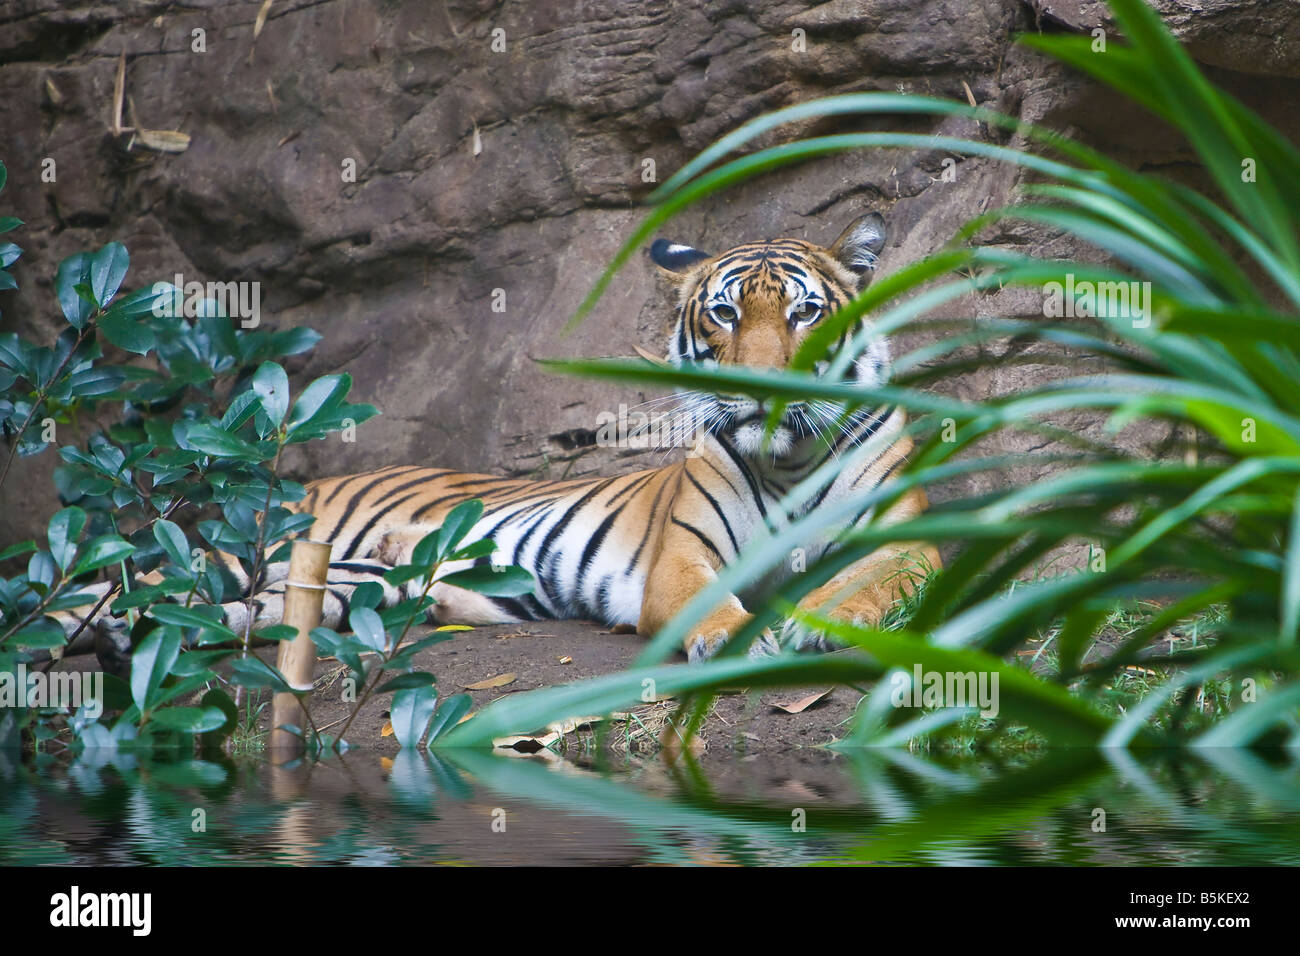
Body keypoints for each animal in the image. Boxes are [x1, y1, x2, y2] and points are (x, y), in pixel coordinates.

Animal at [66, 210, 939, 666]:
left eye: (805, 312)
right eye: (724, 313)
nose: (762, 388)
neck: (790, 462)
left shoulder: (910, 539)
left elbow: (870, 585)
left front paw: (813, 622)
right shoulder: (686, 554)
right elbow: (705, 602)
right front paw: (736, 638)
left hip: (330, 582)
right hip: (262, 545)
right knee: (121, 583)